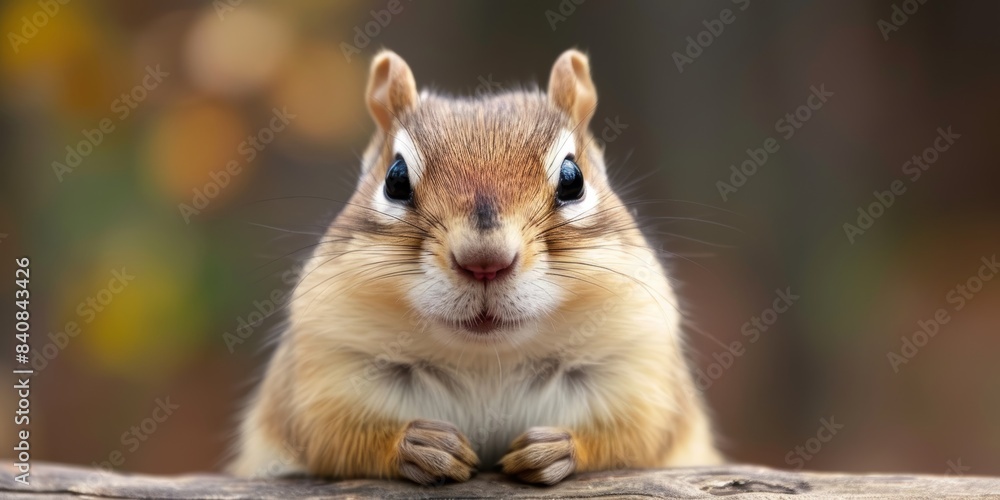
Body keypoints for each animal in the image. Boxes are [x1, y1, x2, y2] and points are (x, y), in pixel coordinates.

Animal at [230, 49, 721, 485]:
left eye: (573, 179)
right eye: (394, 179)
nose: (485, 262)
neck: (486, 360)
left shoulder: (639, 366)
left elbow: (634, 438)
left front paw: (557, 447)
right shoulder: (322, 367)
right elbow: (331, 438)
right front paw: (418, 444)